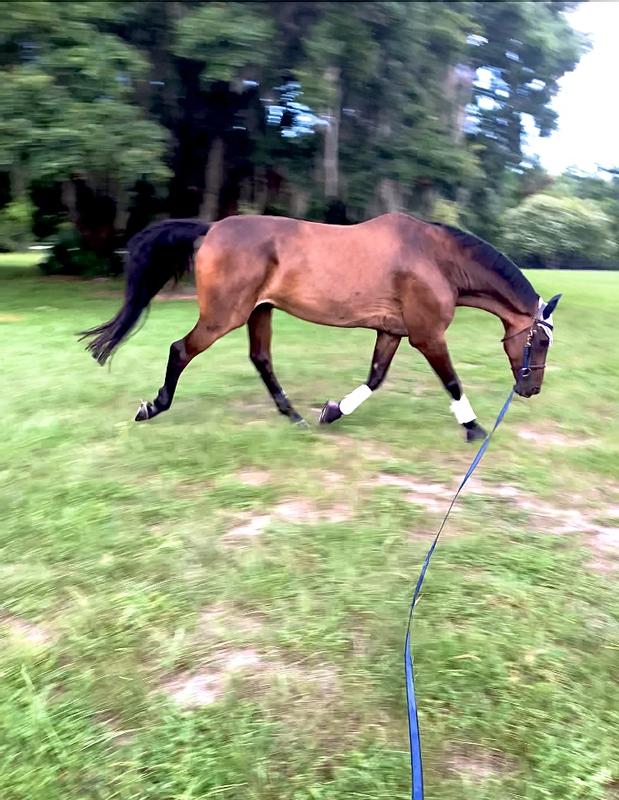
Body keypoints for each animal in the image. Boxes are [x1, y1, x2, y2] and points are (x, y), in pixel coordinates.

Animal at [79, 213, 561, 441]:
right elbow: (452, 381)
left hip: (259, 312)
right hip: (224, 315)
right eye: (539, 342)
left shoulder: (393, 332)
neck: (436, 260)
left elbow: (375, 377)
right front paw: (474, 428)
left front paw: (331, 411)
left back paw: (294, 416)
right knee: (181, 350)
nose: (531, 389)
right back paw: (152, 407)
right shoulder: (428, 336)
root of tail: (212, 227)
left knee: (261, 359)